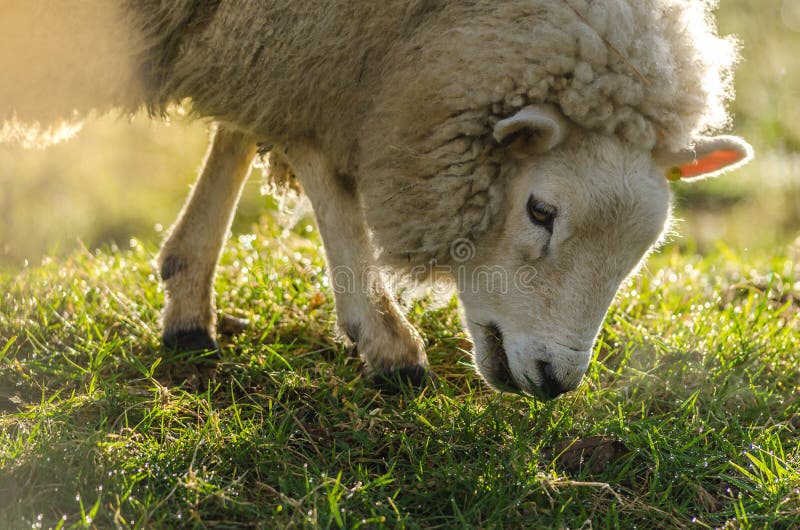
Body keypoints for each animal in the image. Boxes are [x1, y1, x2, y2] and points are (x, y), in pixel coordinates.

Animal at [0, 0, 753, 399]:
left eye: (644, 248)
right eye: (541, 212)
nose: (555, 379)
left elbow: (240, 129)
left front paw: (188, 294)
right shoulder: (305, 45)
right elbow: (318, 163)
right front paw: (387, 340)